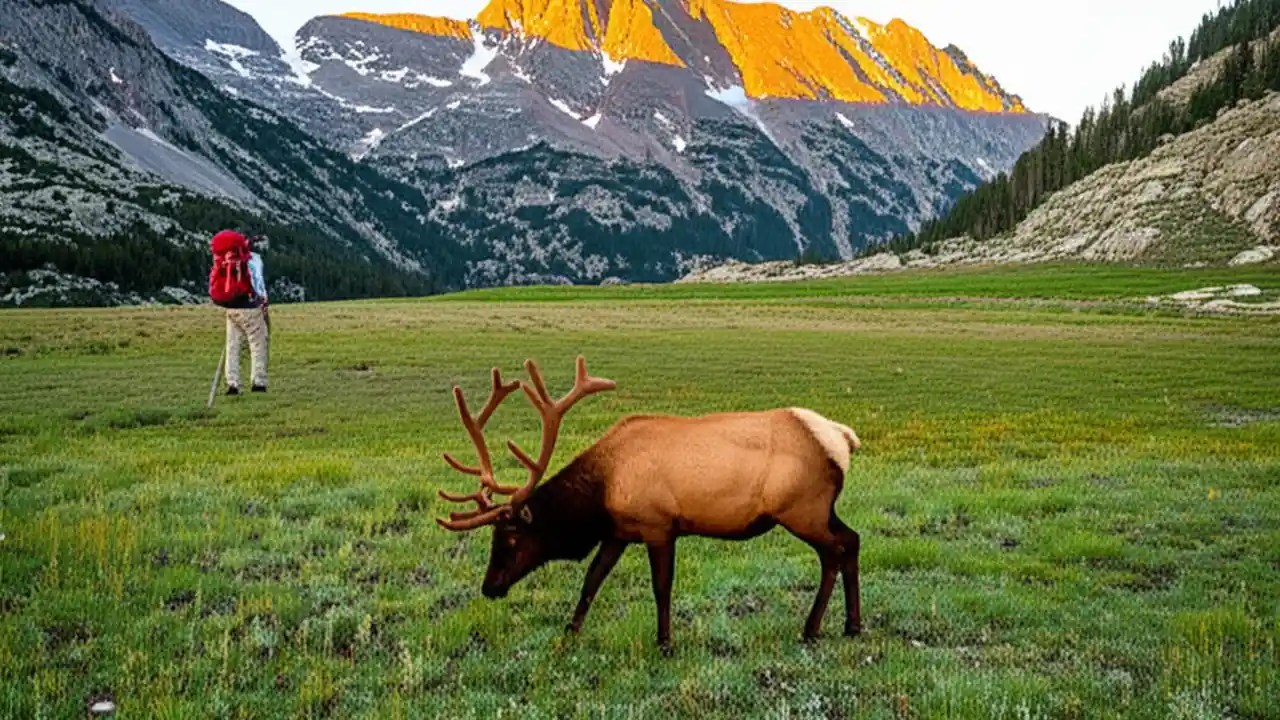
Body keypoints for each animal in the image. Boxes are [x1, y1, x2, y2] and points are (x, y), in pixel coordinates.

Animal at [434, 355, 864, 652]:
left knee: (834, 550)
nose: (490, 587)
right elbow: (591, 580)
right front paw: (570, 631)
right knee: (852, 540)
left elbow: (661, 587)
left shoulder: (659, 526)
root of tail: (843, 438)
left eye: (509, 537)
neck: (601, 494)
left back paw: (813, 628)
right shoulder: (618, 532)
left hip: (802, 509)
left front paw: (665, 642)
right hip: (821, 509)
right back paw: (851, 625)